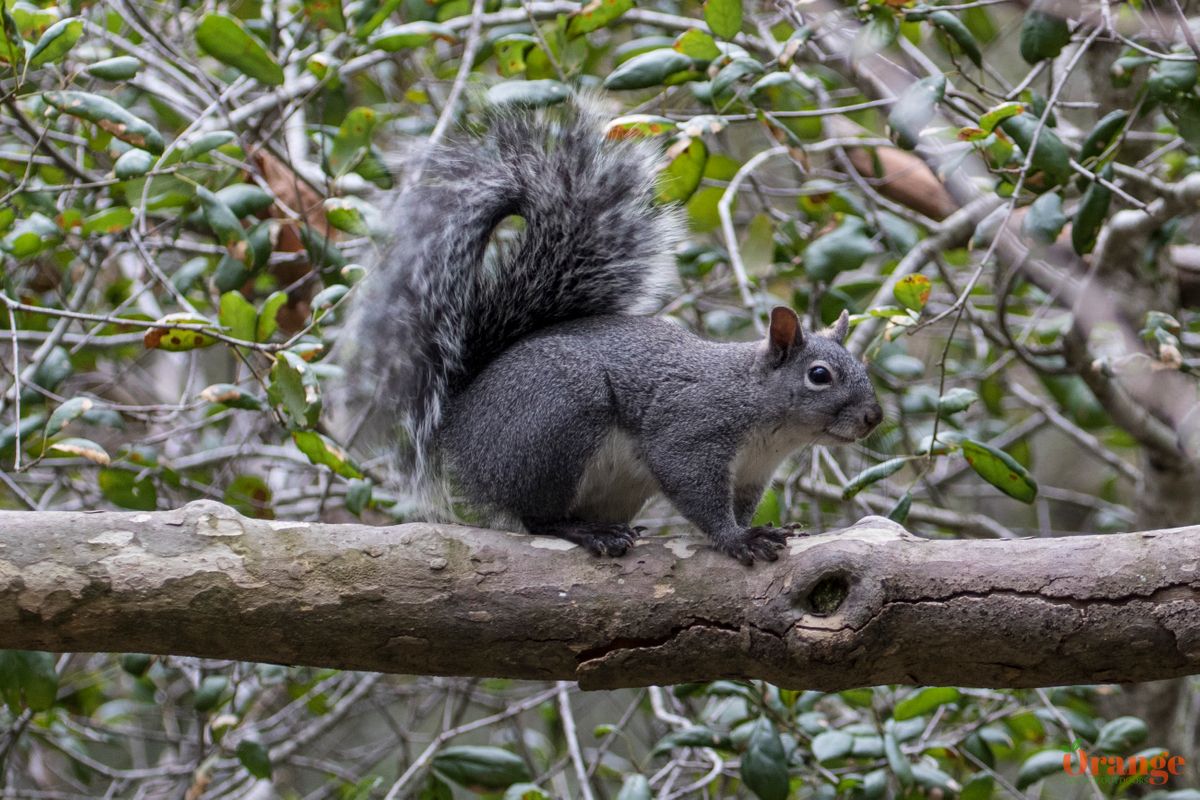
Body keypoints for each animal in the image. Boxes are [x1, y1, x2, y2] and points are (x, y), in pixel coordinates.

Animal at [341, 104, 884, 565]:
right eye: (819, 375)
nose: (874, 418)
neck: (764, 416)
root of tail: (457, 423)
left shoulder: (752, 473)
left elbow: (741, 503)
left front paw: (766, 529)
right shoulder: (690, 431)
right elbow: (697, 493)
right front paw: (737, 539)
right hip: (557, 425)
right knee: (538, 519)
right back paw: (587, 532)